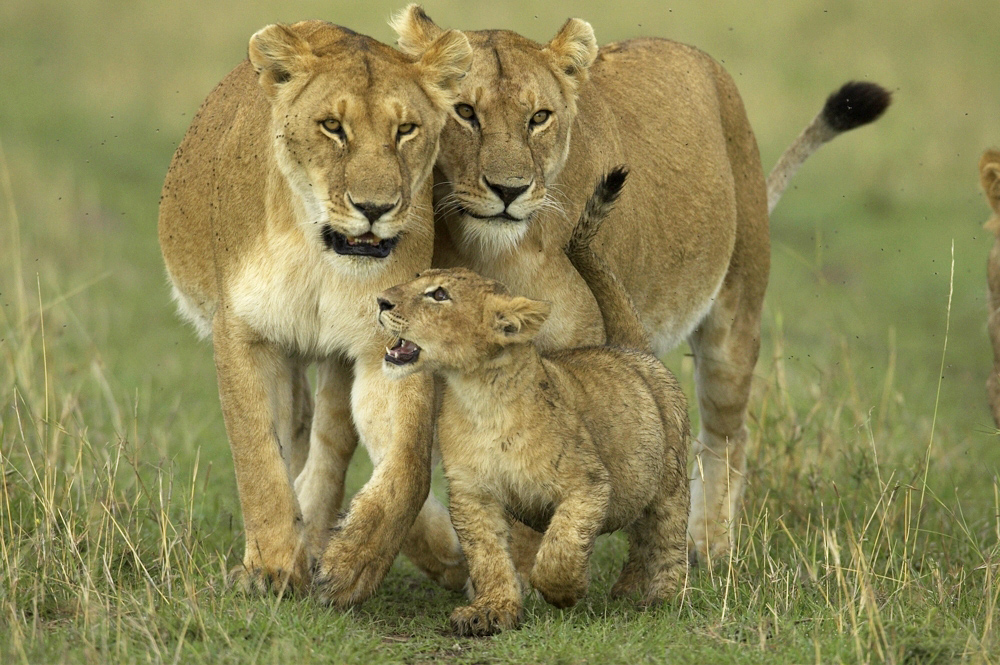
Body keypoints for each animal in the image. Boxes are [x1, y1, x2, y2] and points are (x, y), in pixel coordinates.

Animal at [157, 20, 475, 605]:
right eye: (332, 127)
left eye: (407, 130)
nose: (374, 208)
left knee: (334, 441)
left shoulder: (382, 342)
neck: (320, 255)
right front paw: (272, 569)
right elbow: (259, 455)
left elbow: (408, 466)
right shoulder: (245, 332)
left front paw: (355, 561)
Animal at [376, 169, 690, 636]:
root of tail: (629, 349)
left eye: (439, 295)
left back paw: (663, 598)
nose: (381, 300)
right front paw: (491, 611)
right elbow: (488, 557)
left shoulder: (588, 484)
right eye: (416, 278)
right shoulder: (473, 494)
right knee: (640, 539)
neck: (479, 397)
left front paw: (564, 591)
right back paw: (628, 590)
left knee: (666, 538)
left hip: (670, 481)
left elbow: (561, 544)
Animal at [390, 5, 891, 563]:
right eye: (465, 112)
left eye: (538, 117)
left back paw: (708, 545)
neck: (494, 251)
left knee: (726, 434)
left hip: (733, 319)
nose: (509, 190)